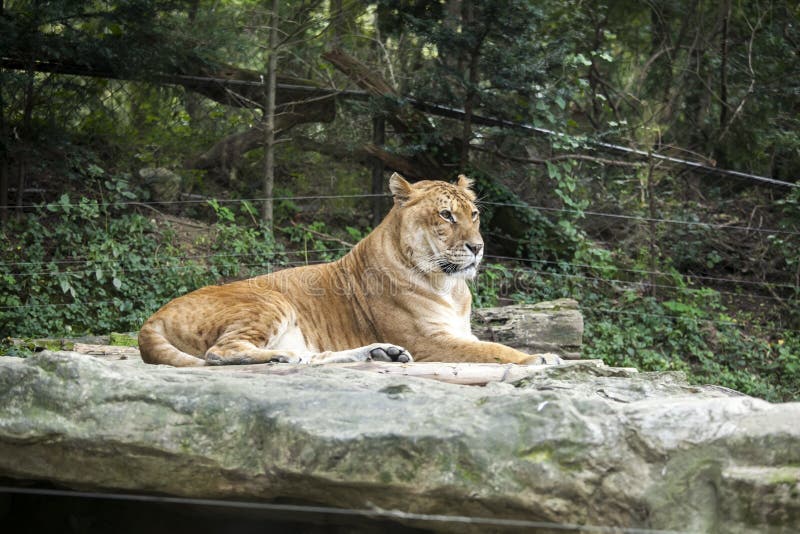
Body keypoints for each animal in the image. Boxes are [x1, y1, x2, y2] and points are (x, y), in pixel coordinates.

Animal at [138, 173, 561, 367]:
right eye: (446, 215)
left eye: (473, 214)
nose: (477, 247)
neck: (449, 285)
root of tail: (151, 319)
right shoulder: (431, 343)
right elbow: (494, 349)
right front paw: (539, 359)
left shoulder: (454, 334)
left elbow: (491, 344)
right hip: (269, 301)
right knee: (219, 352)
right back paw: (282, 358)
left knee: (314, 357)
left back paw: (381, 353)